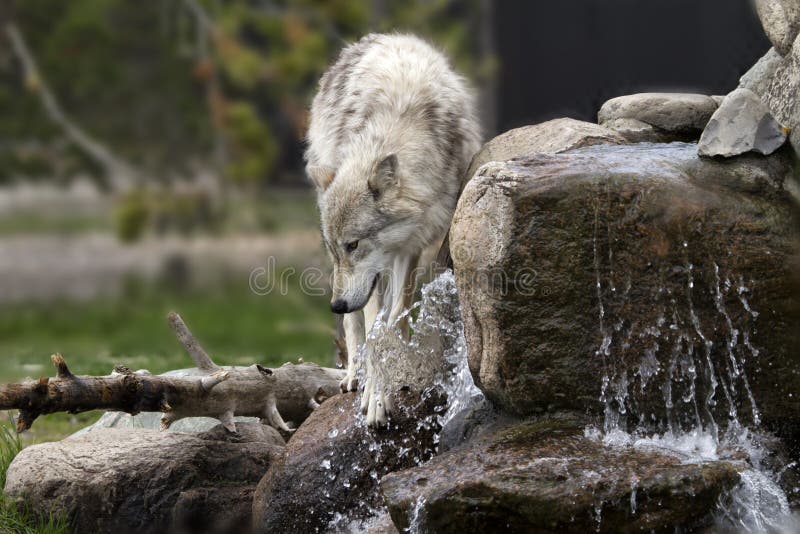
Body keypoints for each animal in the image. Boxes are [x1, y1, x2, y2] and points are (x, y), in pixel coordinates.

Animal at [305, 33, 481, 425]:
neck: (403, 118)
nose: (335, 305)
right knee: (355, 326)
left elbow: (392, 321)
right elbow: (372, 326)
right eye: (339, 247)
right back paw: (353, 373)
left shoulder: (411, 246)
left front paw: (389, 378)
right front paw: (374, 391)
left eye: (354, 244)